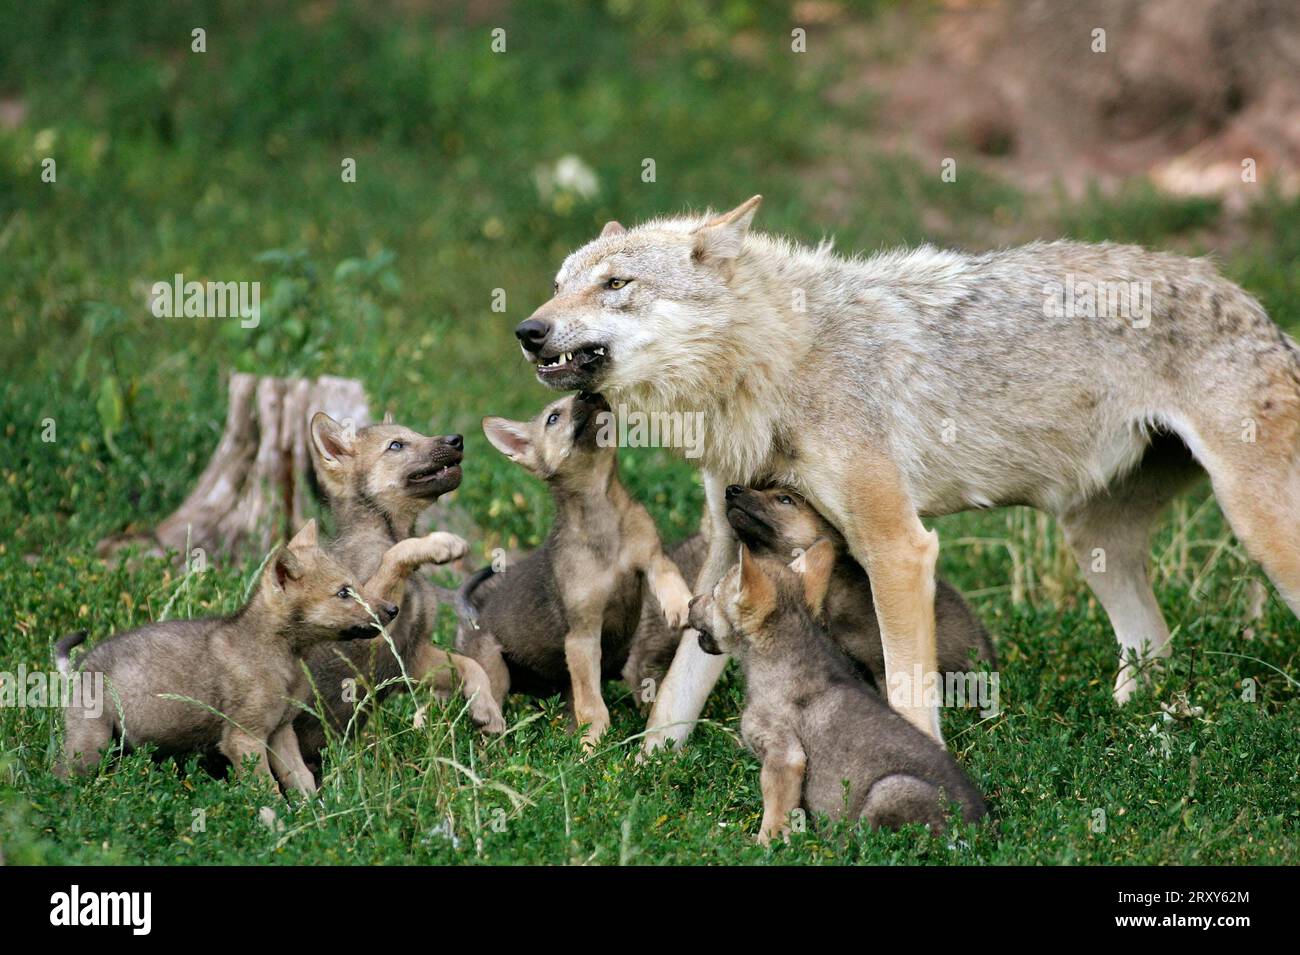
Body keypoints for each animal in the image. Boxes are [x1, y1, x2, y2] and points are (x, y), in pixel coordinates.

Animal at [55, 521, 397, 794]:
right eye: (344, 592)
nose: (393, 609)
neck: (282, 657)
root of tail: (78, 666)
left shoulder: (280, 733)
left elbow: (302, 781)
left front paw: (317, 820)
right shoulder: (243, 738)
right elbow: (268, 791)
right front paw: (276, 827)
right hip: (90, 745)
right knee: (59, 776)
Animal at [298, 413, 505, 765]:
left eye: (416, 433)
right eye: (396, 445)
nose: (457, 439)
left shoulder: (415, 657)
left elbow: (470, 664)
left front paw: (486, 708)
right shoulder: (366, 629)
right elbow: (397, 553)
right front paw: (440, 544)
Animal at [453, 392, 693, 750]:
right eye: (553, 417)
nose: (588, 392)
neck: (599, 511)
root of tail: (472, 619)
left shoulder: (653, 558)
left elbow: (670, 580)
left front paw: (679, 605)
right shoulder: (583, 636)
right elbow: (592, 704)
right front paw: (591, 744)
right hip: (496, 676)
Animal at [515, 197, 1300, 751]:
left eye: (616, 283)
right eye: (557, 286)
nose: (527, 329)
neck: (779, 362)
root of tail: (1254, 306)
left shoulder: (898, 547)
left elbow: (906, 694)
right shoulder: (727, 548)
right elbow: (678, 695)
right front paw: (640, 777)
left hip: (1260, 534)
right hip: (1094, 544)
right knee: (1154, 646)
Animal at [689, 539, 988, 842]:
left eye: (714, 593)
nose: (690, 602)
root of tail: (981, 831)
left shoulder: (785, 757)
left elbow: (774, 816)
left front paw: (764, 846)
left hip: (886, 790)